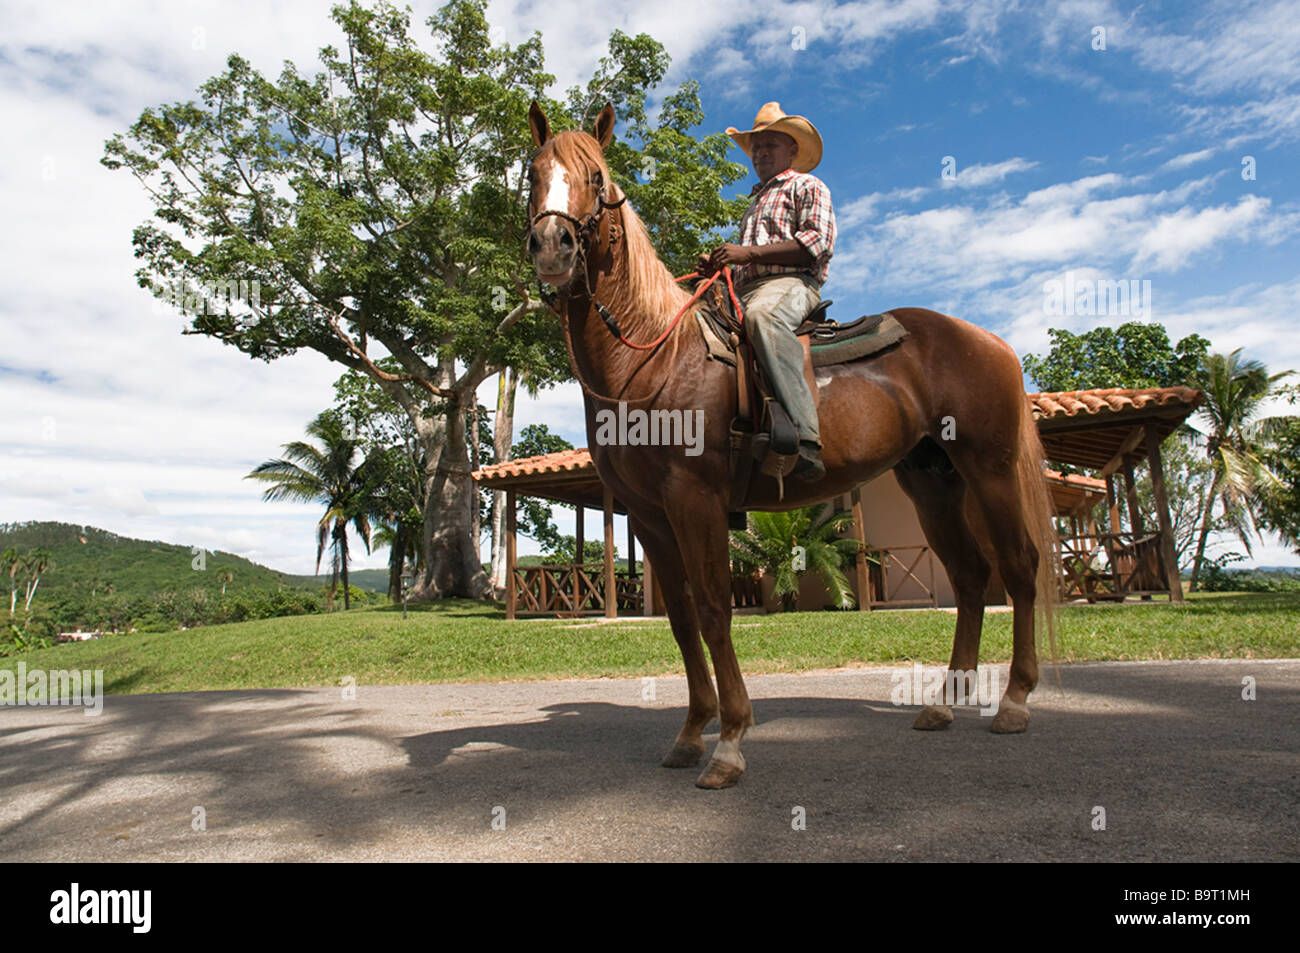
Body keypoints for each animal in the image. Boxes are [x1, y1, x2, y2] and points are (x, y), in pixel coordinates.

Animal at [524, 101, 1059, 789]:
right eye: (533, 173)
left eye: (595, 176)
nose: (552, 247)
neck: (652, 355)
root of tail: (988, 339)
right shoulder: (647, 515)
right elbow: (681, 620)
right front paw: (690, 734)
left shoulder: (695, 500)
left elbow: (715, 612)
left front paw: (729, 743)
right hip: (931, 482)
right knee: (969, 578)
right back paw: (944, 703)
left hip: (989, 471)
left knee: (1018, 567)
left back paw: (1014, 701)